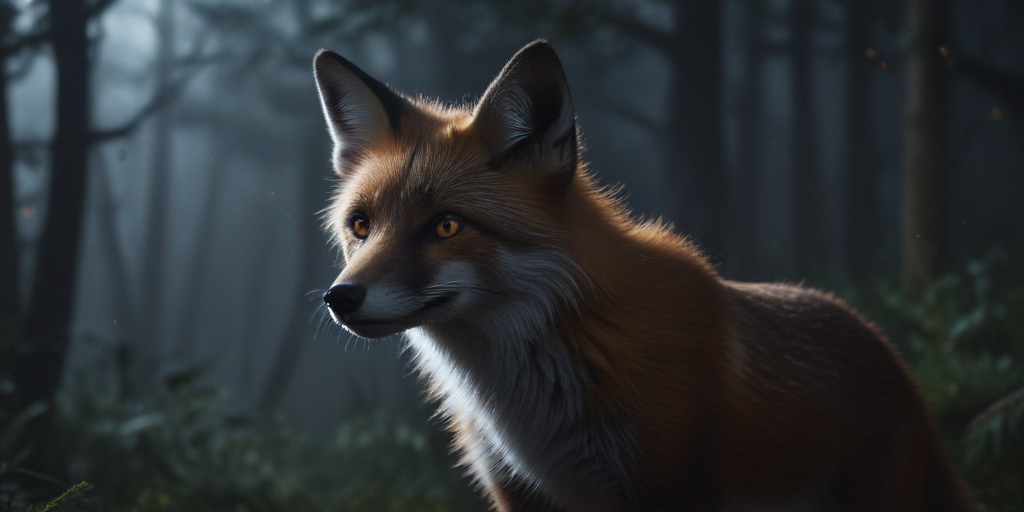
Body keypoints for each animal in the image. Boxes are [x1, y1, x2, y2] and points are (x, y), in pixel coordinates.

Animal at [311, 40, 979, 512]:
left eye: (447, 226)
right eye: (362, 226)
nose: (340, 298)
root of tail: (883, 344)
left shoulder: (669, 486)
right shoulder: (521, 492)